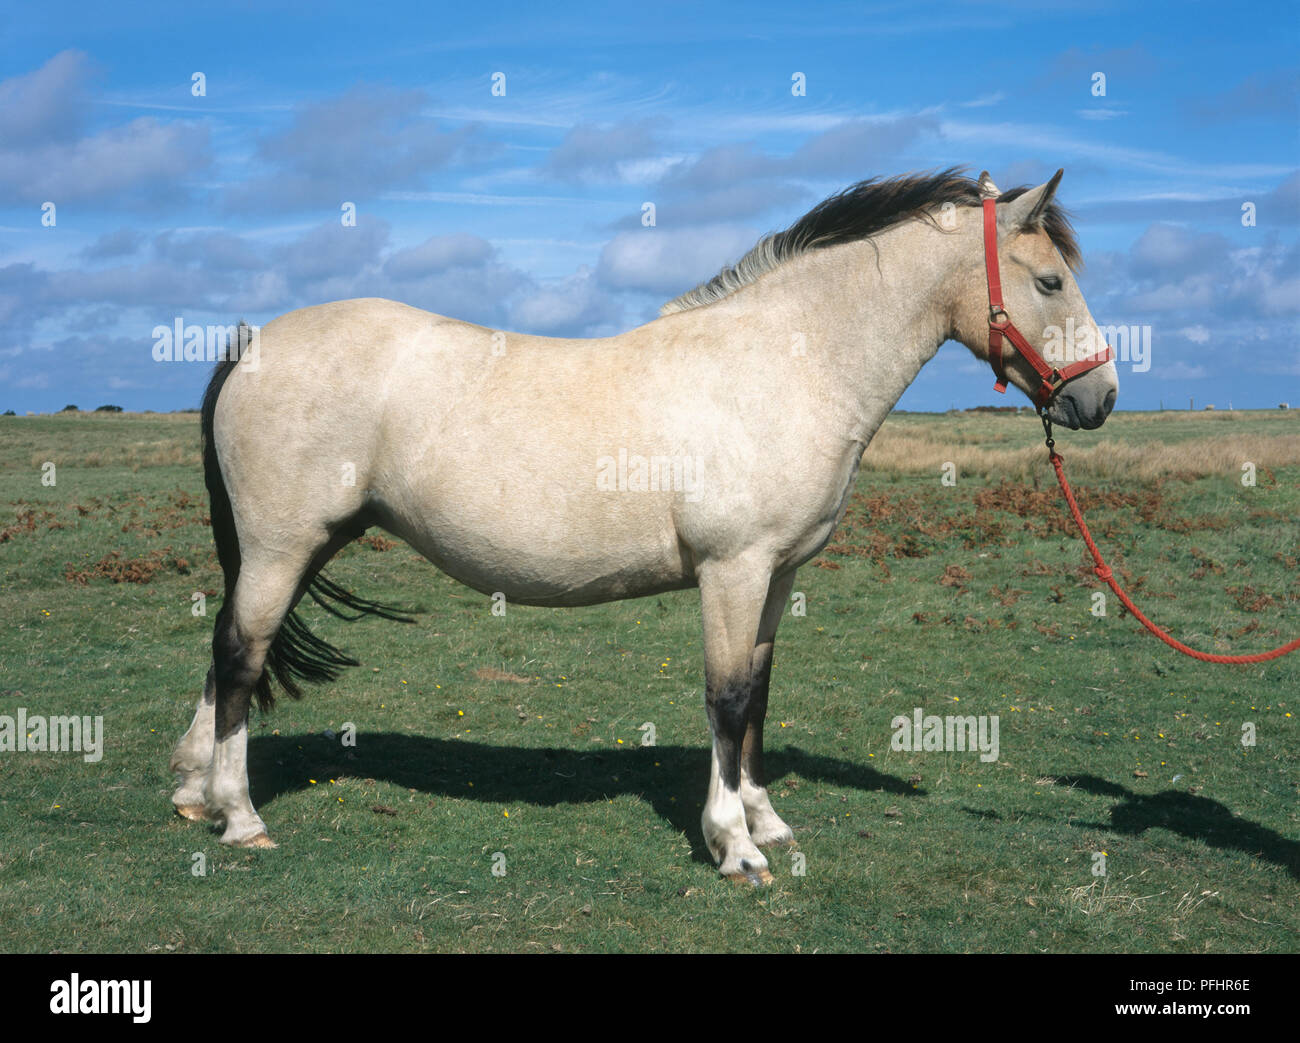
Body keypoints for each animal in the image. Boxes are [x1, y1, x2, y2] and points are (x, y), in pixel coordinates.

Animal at [168, 168, 1118, 884]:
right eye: (1049, 281)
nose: (1100, 398)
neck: (783, 365)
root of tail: (254, 342)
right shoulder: (733, 569)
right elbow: (725, 697)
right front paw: (734, 845)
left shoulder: (777, 574)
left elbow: (757, 697)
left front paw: (766, 820)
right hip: (282, 545)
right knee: (241, 653)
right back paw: (240, 816)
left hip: (296, 546)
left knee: (230, 651)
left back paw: (193, 790)